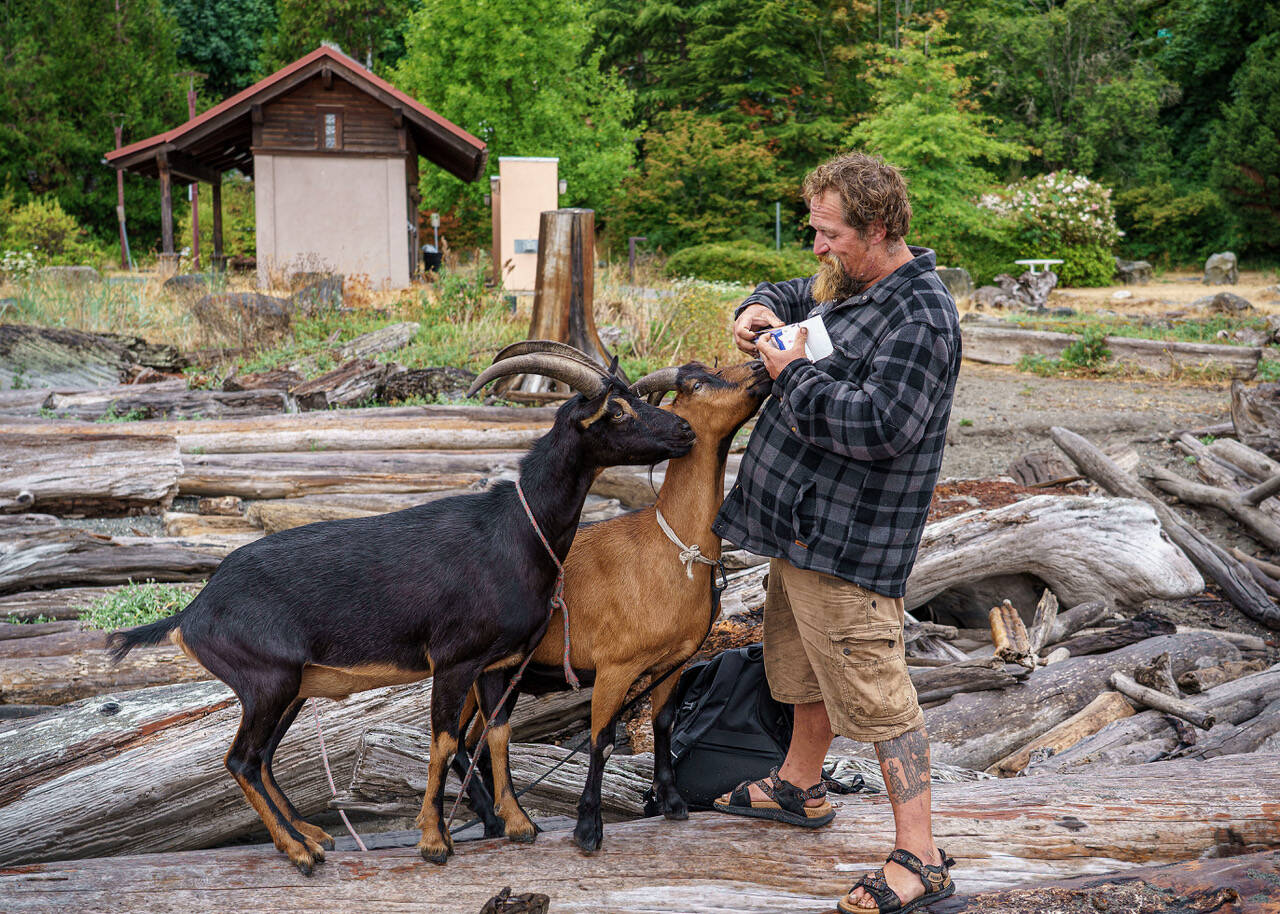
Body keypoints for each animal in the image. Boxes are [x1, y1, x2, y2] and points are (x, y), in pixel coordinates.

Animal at [107, 346, 695, 873]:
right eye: (616, 411)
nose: (685, 432)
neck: (518, 532)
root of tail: (191, 615)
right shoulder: (454, 659)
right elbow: (445, 741)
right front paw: (435, 841)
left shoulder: (501, 664)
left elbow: (498, 736)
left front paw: (520, 825)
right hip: (266, 680)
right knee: (242, 760)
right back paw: (299, 851)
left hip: (290, 688)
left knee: (263, 757)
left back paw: (309, 833)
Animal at [457, 353, 770, 853]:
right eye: (698, 383)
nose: (761, 365)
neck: (672, 550)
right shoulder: (614, 667)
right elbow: (601, 740)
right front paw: (588, 828)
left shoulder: (673, 662)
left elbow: (663, 723)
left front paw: (672, 803)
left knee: (476, 740)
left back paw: (495, 821)